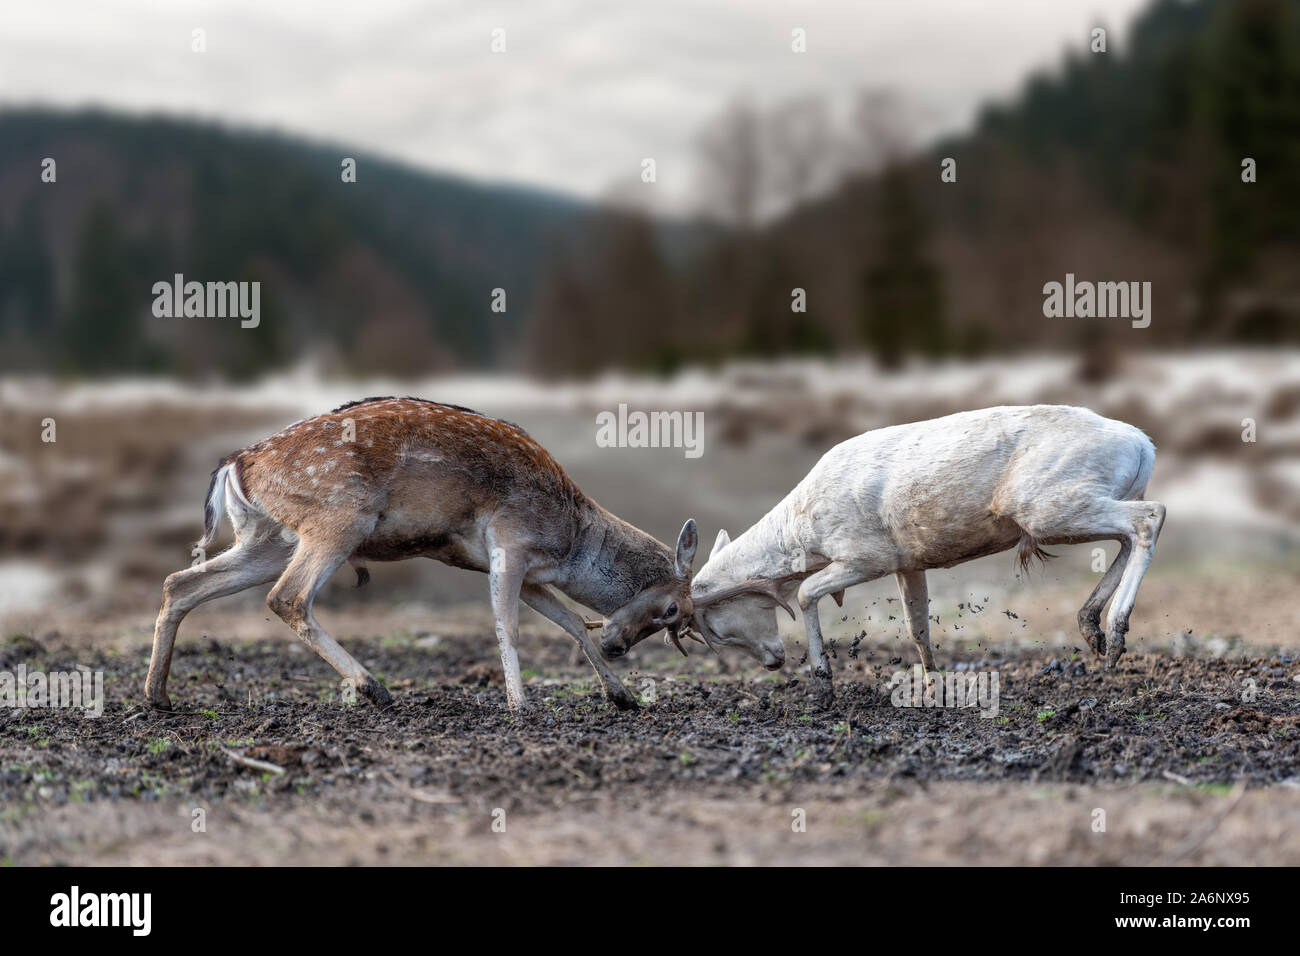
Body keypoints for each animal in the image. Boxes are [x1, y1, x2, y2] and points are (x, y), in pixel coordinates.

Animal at [145, 396, 702, 713]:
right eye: (673, 609)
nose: (618, 647)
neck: (570, 540)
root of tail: (236, 463)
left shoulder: (525, 572)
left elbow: (568, 622)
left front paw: (622, 695)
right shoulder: (510, 542)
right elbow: (508, 624)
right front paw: (520, 704)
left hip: (266, 539)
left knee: (181, 582)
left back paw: (159, 696)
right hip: (339, 517)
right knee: (288, 597)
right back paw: (374, 688)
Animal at [599, 405, 1165, 705]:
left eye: (710, 629)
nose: (773, 661)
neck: (803, 532)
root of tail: (1144, 444)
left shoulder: (865, 555)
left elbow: (807, 591)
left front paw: (823, 680)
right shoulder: (908, 561)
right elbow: (917, 623)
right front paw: (932, 681)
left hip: (1046, 506)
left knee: (1149, 518)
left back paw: (1115, 634)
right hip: (1074, 503)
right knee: (1127, 533)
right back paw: (1092, 626)